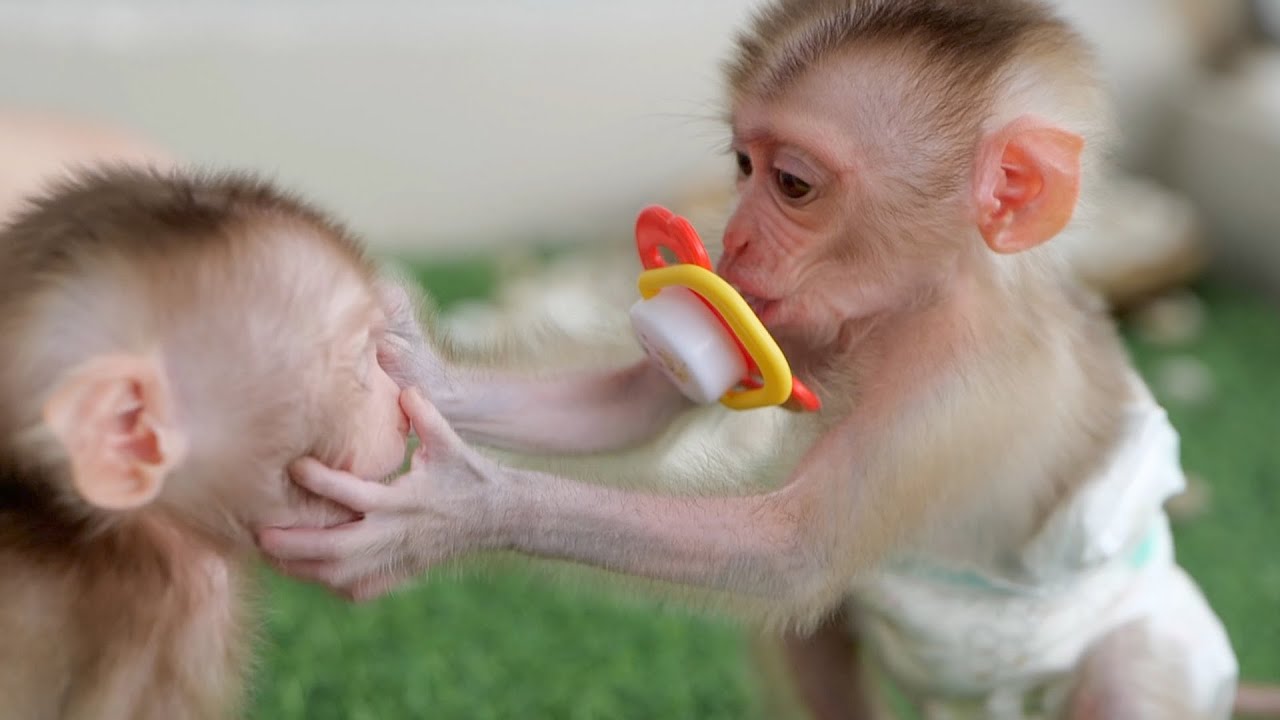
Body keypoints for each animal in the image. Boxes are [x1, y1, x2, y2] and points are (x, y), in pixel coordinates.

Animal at [258, 0, 1276, 717]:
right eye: (740, 166)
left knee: (1121, 679)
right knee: (813, 638)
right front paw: (404, 355)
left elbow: (792, 553)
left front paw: (453, 509)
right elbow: (627, 411)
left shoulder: (966, 385)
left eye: (792, 184)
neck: (904, 310)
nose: (733, 241)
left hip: (1153, 648)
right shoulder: (780, 321)